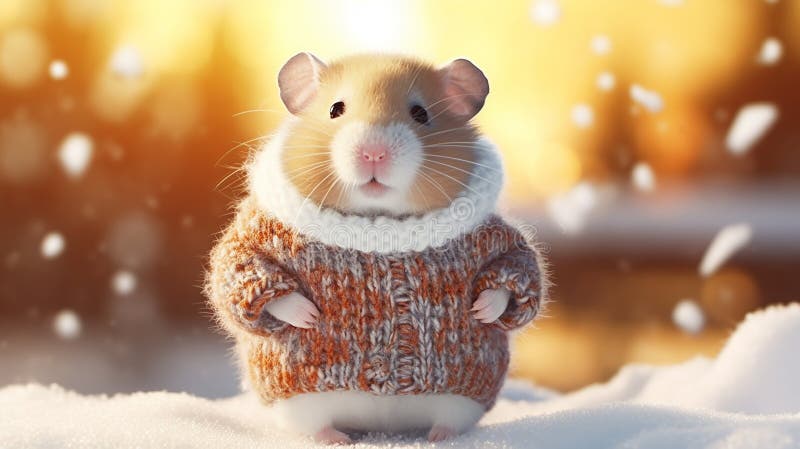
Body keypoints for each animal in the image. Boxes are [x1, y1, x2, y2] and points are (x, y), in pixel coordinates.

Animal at [206, 52, 547, 444]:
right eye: (335, 109)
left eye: (421, 114)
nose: (374, 153)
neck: (379, 221)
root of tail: (384, 428)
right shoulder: (252, 237)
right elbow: (242, 276)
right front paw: (308, 315)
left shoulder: (497, 239)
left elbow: (516, 275)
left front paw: (480, 310)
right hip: (299, 406)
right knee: (315, 425)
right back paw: (337, 439)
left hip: (463, 402)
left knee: (450, 419)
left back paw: (437, 437)